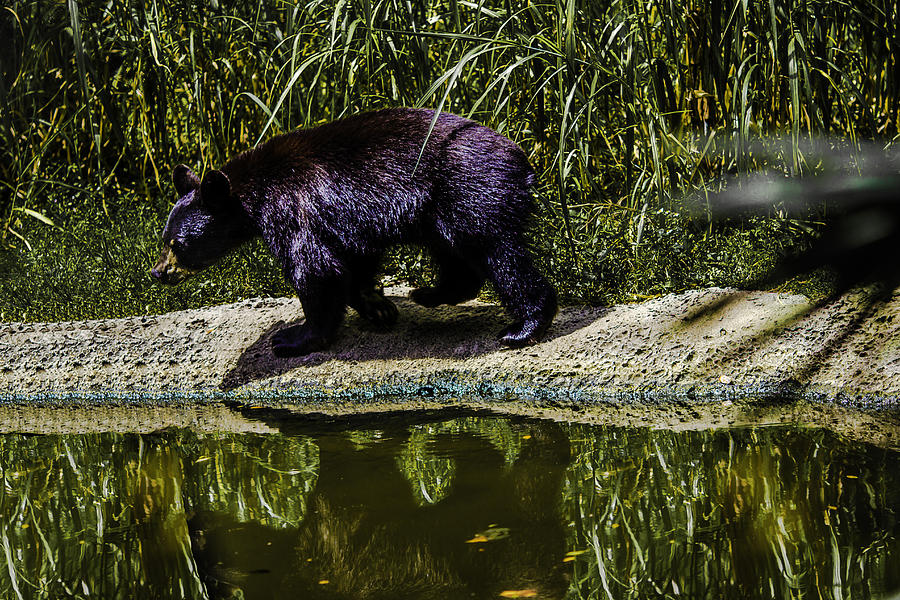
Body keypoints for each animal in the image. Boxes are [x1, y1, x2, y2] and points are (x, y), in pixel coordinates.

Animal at [150, 108, 557, 357]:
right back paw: (429, 293)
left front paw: (294, 338)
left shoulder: (292, 207)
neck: (252, 191)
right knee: (455, 256)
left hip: (471, 193)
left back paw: (524, 327)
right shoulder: (349, 218)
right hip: (437, 212)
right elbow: (355, 258)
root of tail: (523, 161)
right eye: (163, 239)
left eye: (178, 243)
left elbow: (313, 268)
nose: (158, 272)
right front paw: (376, 306)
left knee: (499, 255)